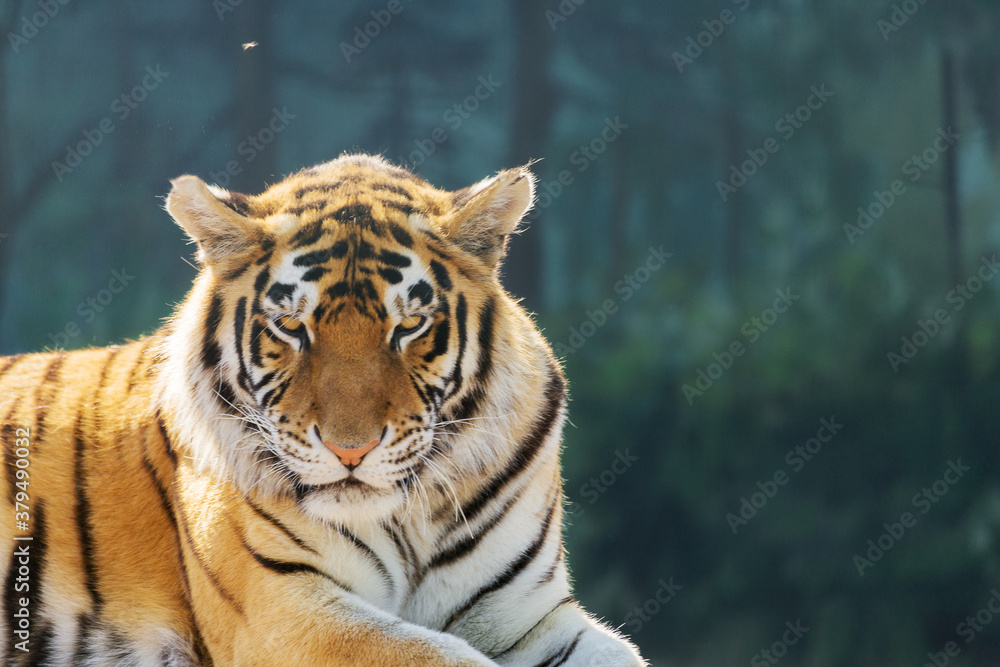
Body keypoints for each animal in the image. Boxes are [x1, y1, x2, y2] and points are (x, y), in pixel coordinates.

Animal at [0, 154, 646, 666]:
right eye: (291, 326)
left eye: (409, 325)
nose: (350, 451)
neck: (409, 522)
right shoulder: (284, 608)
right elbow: (438, 657)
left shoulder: (528, 616)